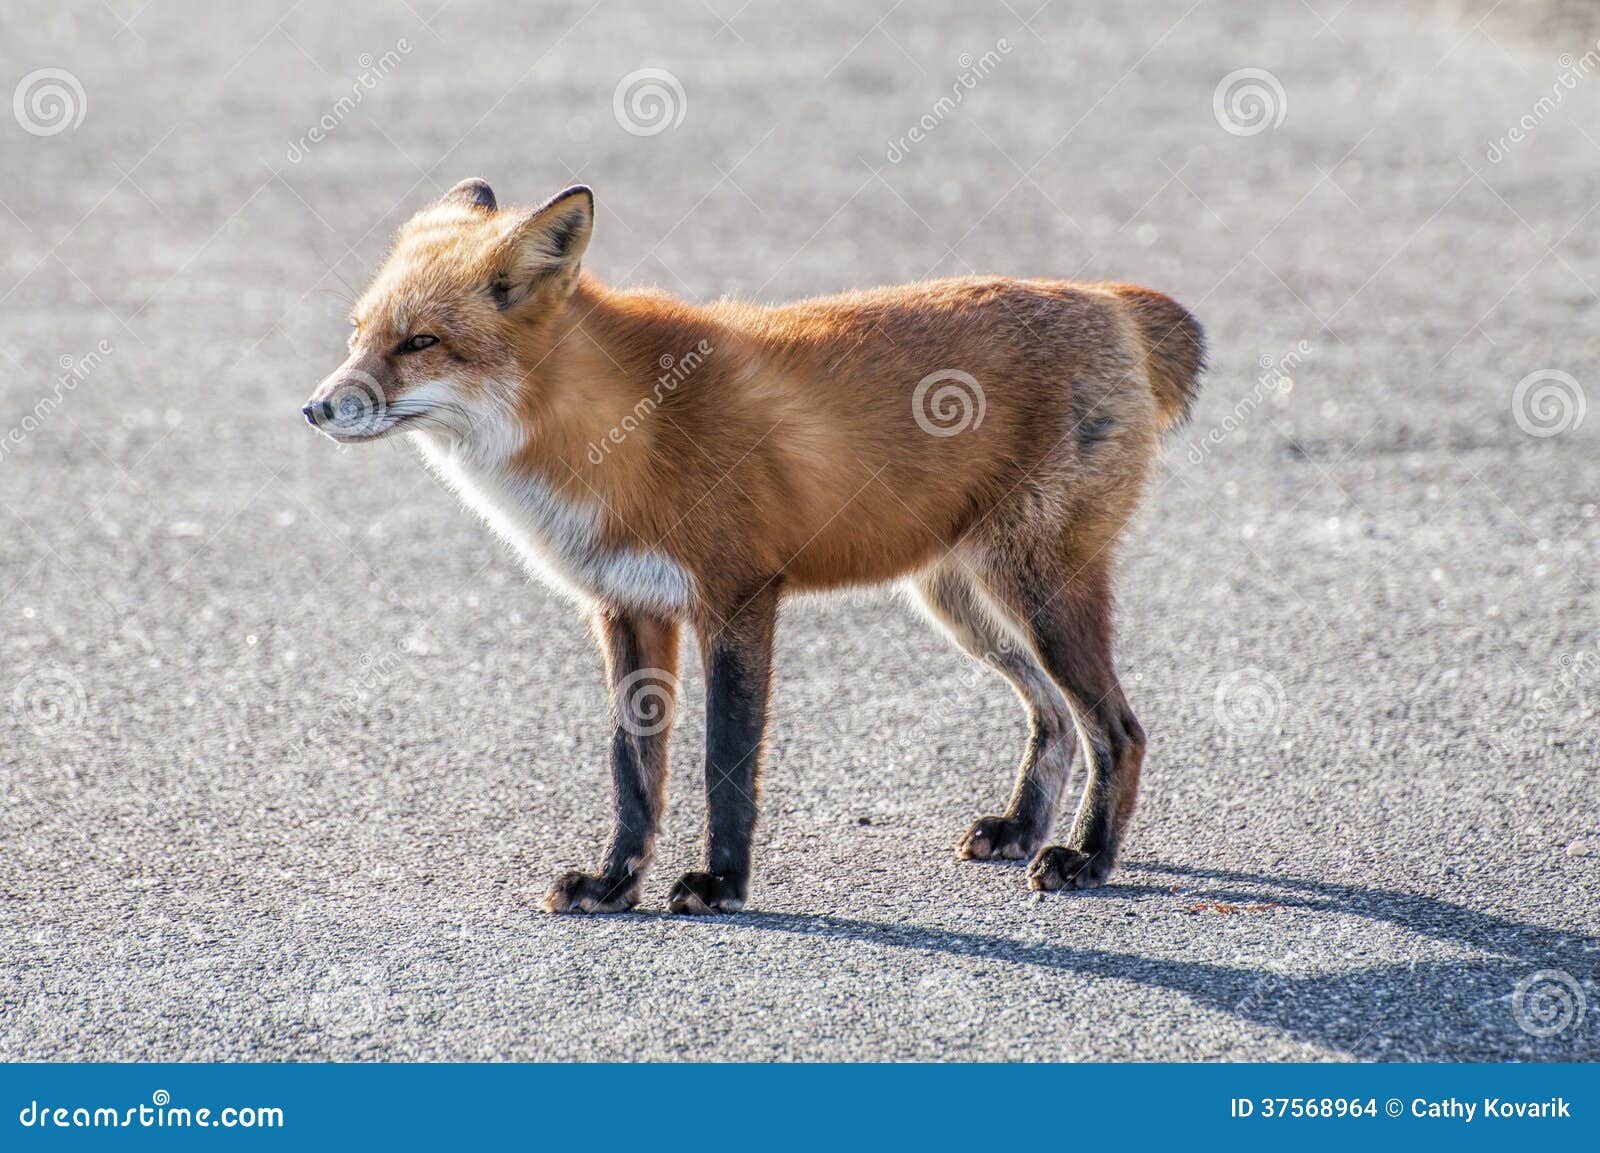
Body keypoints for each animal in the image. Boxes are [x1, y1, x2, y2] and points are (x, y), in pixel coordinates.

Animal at [303, 178, 1204, 915]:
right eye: (357, 334)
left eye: (420, 342)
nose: (315, 408)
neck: (624, 433)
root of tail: (1103, 297)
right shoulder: (626, 607)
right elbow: (634, 772)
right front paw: (614, 883)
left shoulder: (737, 597)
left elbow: (724, 763)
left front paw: (720, 882)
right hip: (960, 601)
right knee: (1053, 716)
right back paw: (1022, 827)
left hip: (1037, 592)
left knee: (1118, 729)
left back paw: (1086, 856)